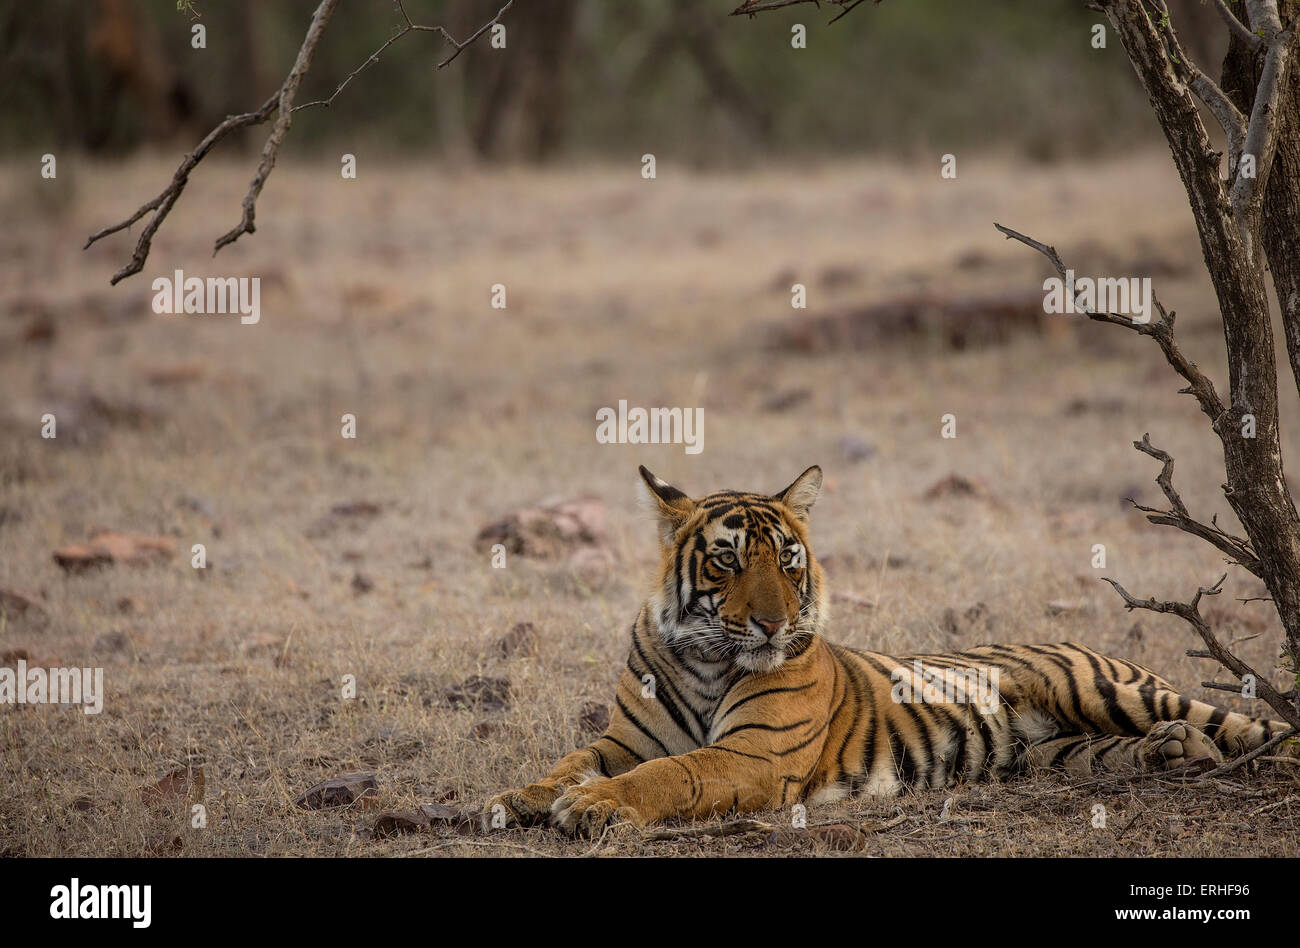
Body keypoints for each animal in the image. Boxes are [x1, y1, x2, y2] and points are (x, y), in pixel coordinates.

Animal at [485, 465, 1298, 837]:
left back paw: (1237, 752)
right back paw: (1175, 752)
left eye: (787, 560)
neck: (705, 657)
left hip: (1103, 687)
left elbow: (672, 773)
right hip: (1055, 749)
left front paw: (591, 805)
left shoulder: (753, 755)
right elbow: (572, 759)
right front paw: (517, 798)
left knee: (1254, 724)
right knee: (1126, 750)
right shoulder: (623, 738)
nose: (773, 626)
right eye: (726, 560)